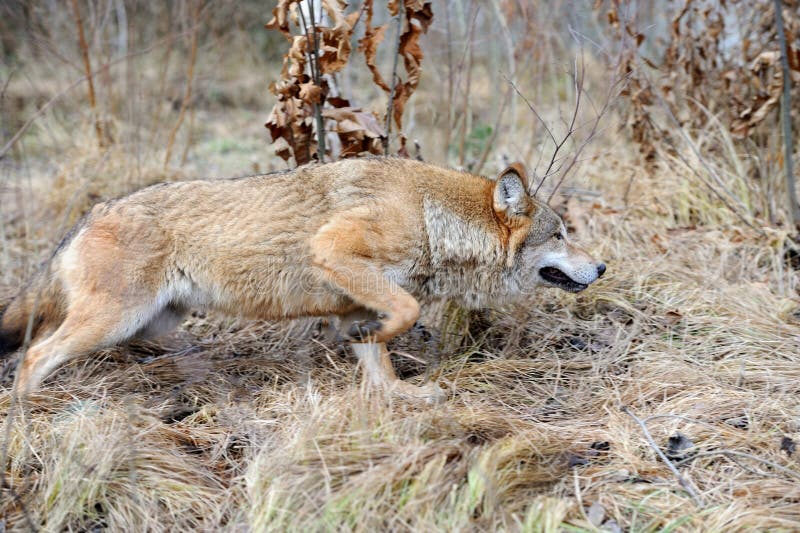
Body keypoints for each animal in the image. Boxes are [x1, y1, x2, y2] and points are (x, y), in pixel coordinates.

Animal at [0, 157, 605, 401]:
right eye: (560, 235)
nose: (601, 267)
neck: (430, 216)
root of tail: (91, 212)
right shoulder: (334, 250)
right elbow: (407, 312)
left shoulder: (358, 304)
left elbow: (381, 364)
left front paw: (404, 398)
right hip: (112, 320)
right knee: (35, 355)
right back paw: (30, 413)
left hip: (151, 323)